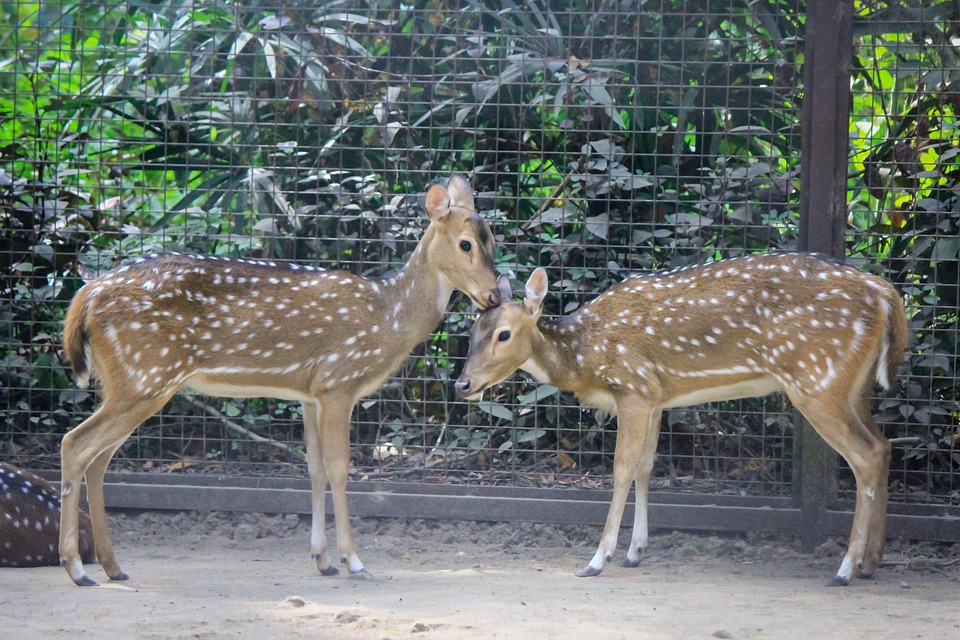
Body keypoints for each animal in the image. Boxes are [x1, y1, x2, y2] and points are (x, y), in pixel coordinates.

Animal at [59, 174, 501, 586]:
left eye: (493, 239)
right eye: (466, 244)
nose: (495, 295)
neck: (388, 318)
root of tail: (84, 299)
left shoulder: (309, 394)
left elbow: (315, 468)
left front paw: (322, 560)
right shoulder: (339, 382)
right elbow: (340, 468)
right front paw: (353, 560)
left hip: (125, 380)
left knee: (98, 460)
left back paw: (113, 567)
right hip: (147, 374)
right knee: (75, 443)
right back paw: (77, 567)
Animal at [455, 253, 908, 586]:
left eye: (504, 334)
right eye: (473, 331)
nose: (463, 383)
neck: (585, 359)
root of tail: (885, 294)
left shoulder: (633, 388)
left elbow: (621, 469)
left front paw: (598, 558)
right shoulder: (655, 397)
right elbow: (646, 467)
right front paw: (635, 552)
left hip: (816, 379)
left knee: (865, 455)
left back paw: (845, 569)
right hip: (853, 387)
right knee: (884, 446)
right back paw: (871, 563)